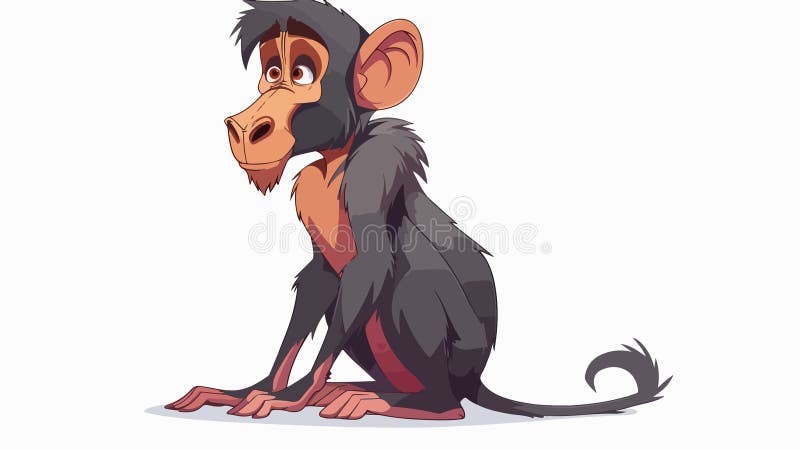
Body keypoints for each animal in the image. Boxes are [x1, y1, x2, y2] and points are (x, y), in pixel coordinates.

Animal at [166, 0, 671, 421]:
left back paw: (418, 404)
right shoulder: (310, 189)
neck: (336, 162)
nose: (247, 127)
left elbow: (372, 265)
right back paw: (361, 390)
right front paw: (255, 388)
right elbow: (319, 278)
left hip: (455, 359)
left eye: (303, 73)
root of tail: (473, 379)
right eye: (272, 72)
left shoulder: (376, 164)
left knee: (411, 278)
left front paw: (290, 396)